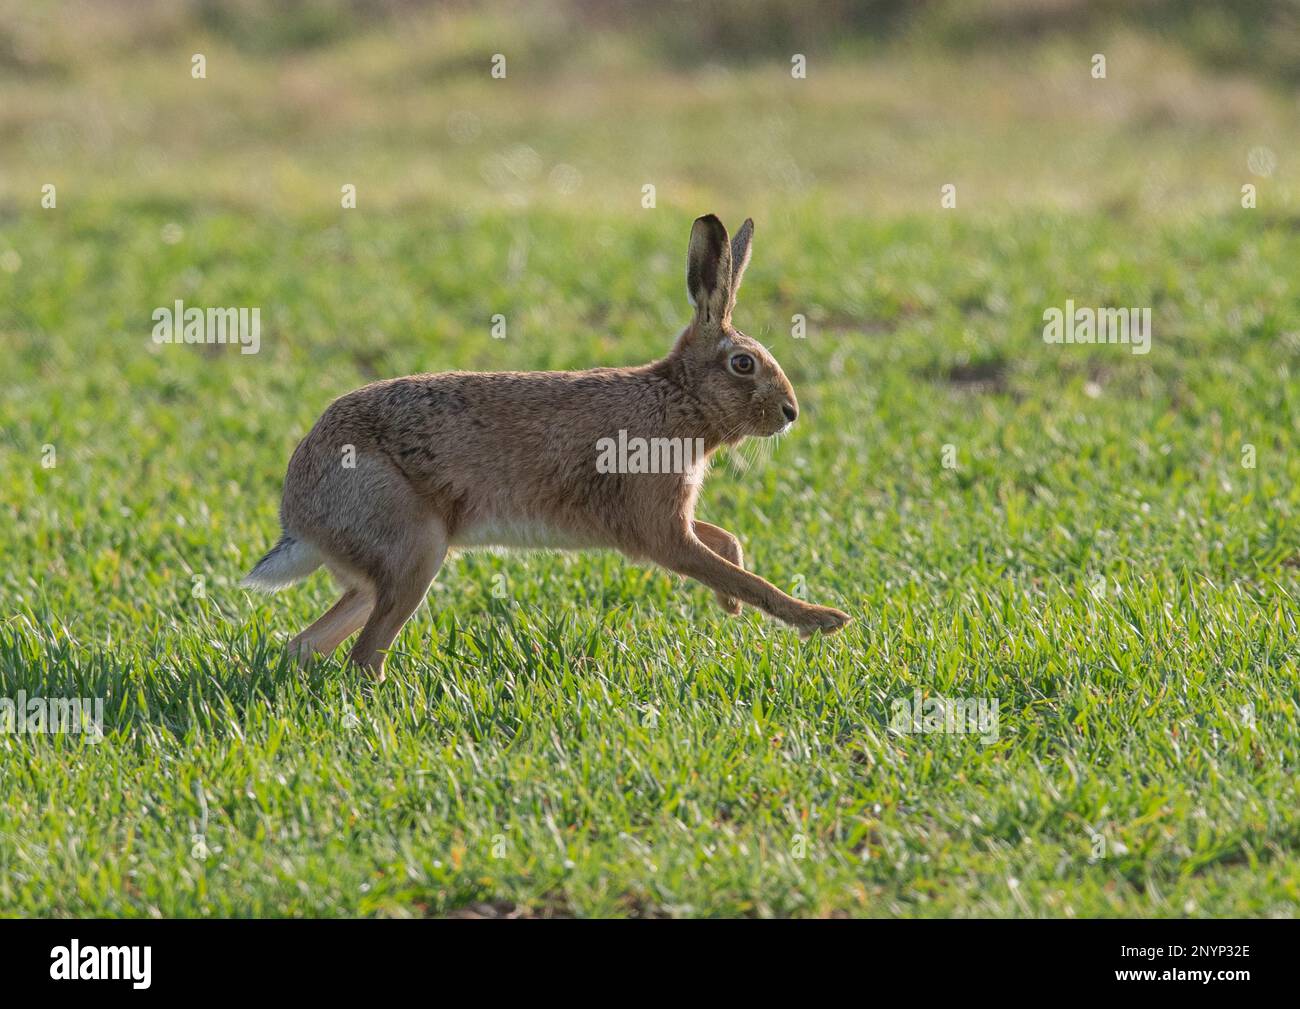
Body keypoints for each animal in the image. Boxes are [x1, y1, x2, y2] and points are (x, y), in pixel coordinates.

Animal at [242, 214, 851, 676]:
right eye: (743, 364)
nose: (791, 413)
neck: (678, 397)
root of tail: (297, 516)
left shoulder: (663, 518)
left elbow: (727, 542)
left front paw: (730, 608)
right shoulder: (660, 529)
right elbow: (743, 576)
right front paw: (821, 619)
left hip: (383, 571)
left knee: (309, 642)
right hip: (414, 550)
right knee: (364, 655)